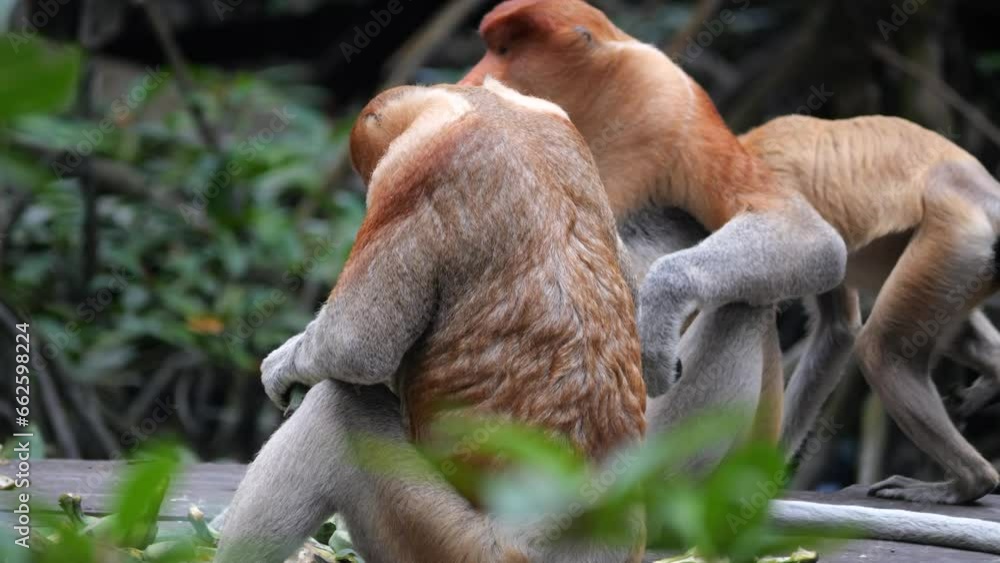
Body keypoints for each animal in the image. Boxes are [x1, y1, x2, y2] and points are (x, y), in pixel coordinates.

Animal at [457, 0, 1000, 507]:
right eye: (492, 47)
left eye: (505, 50)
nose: (471, 79)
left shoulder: (670, 103)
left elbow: (810, 239)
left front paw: (657, 323)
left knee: (761, 312)